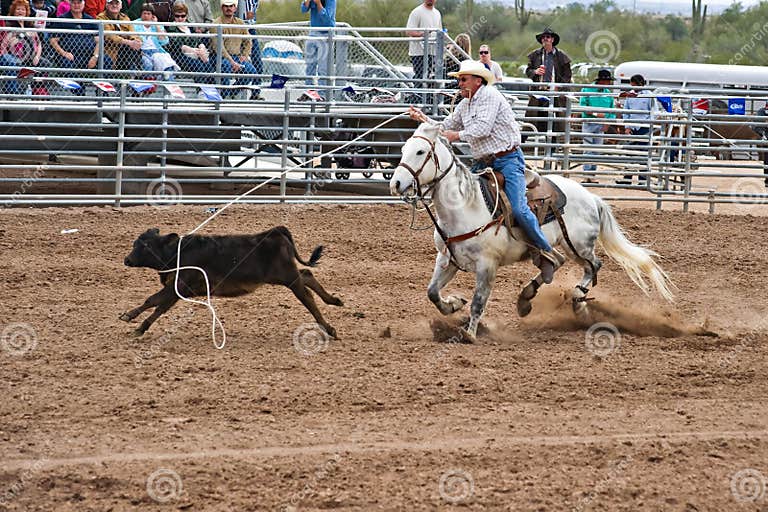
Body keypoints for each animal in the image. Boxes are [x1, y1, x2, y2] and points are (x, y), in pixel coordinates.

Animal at [120, 227, 343, 338]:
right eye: (135, 243)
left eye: (146, 246)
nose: (127, 260)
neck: (176, 253)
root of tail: (274, 232)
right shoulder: (178, 290)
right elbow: (159, 306)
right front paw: (137, 323)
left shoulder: (178, 287)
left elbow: (153, 301)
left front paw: (131, 319)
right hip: (286, 276)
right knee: (307, 275)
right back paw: (334, 301)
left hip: (288, 277)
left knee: (307, 297)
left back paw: (329, 328)